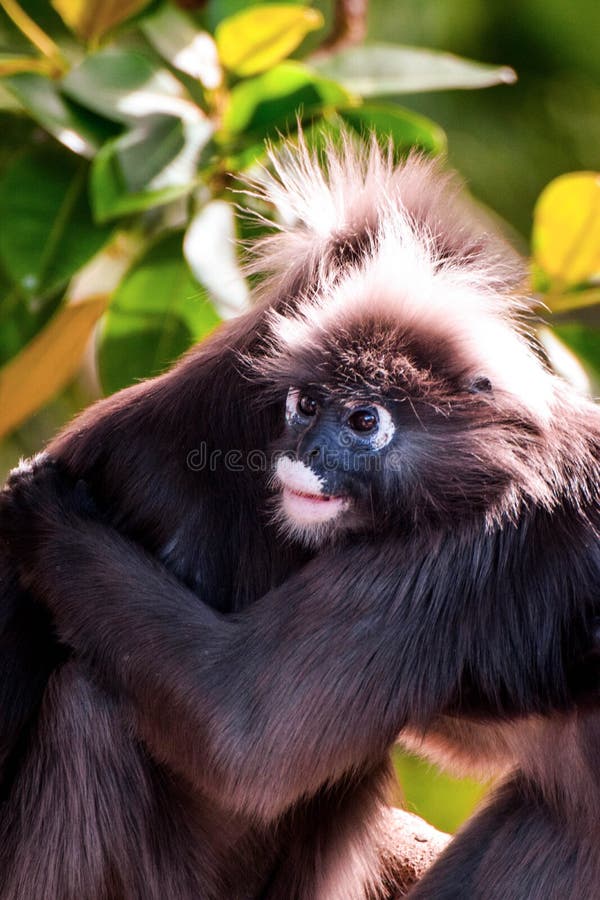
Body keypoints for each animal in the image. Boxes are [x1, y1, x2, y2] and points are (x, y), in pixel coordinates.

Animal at [1, 137, 599, 899]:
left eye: (364, 421)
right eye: (308, 406)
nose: (304, 451)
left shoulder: (465, 548)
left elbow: (245, 732)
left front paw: (41, 511)